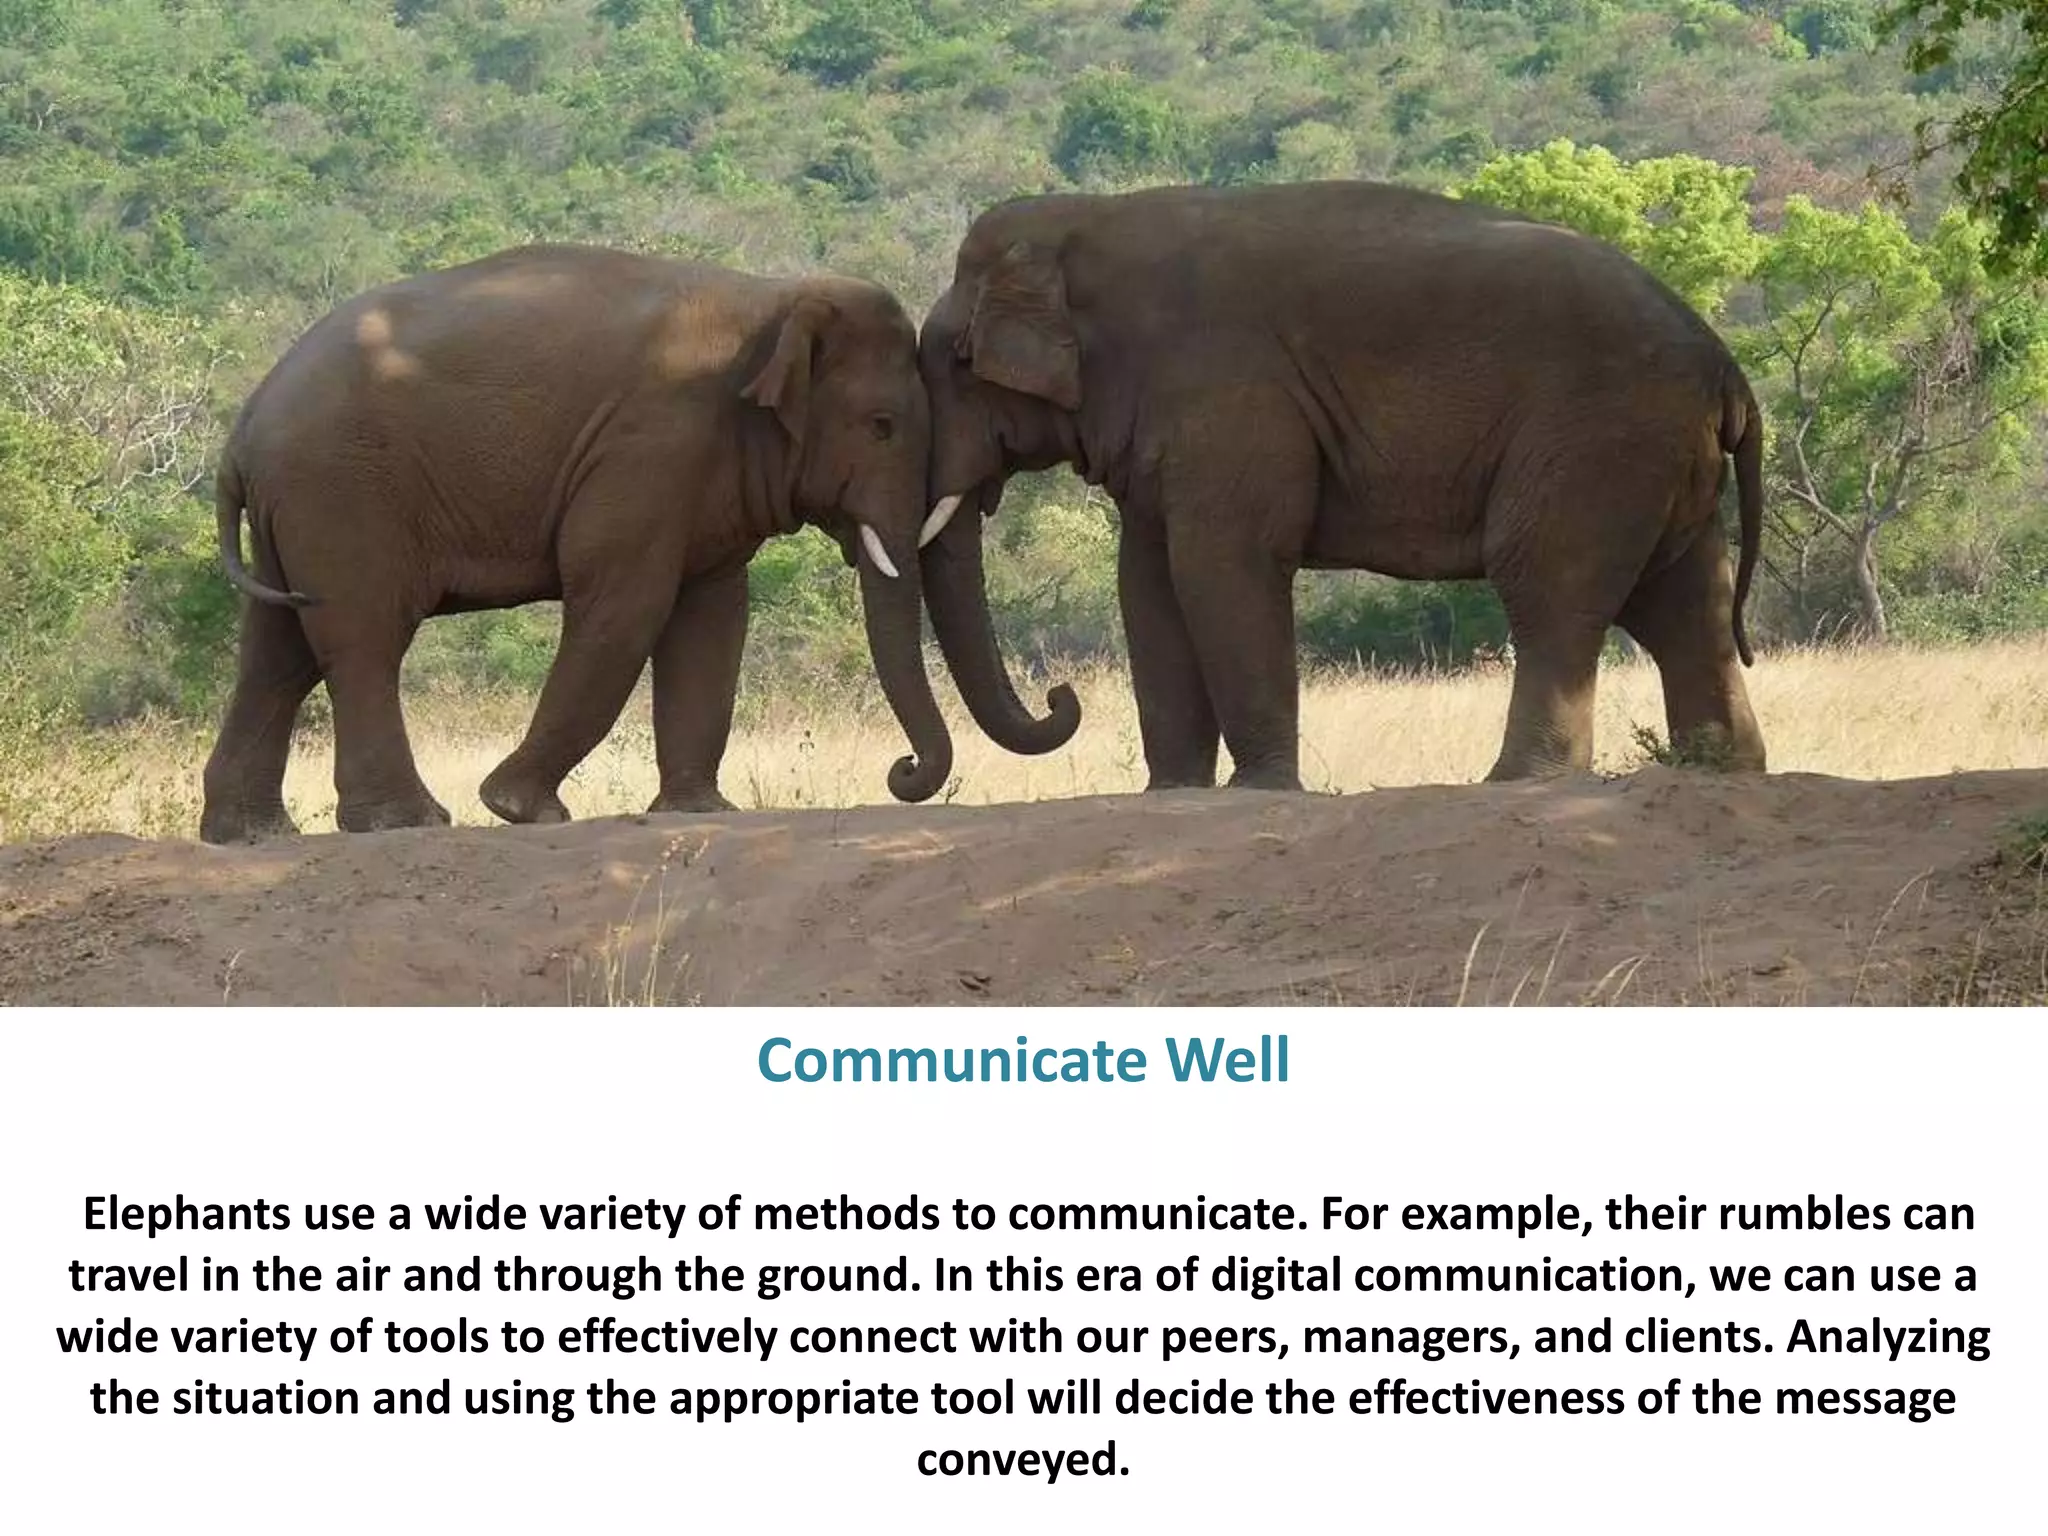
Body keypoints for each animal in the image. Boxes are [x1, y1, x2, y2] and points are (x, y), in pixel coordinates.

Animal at [200, 244, 975, 844]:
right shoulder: (651, 445)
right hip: (341, 492)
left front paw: (700, 810)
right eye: (882, 426)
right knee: (362, 640)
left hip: (297, 510)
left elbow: (713, 620)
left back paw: (251, 833)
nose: (903, 771)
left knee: (277, 651)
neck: (772, 295)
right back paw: (407, 821)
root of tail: (241, 436)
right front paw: (520, 808)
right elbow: (624, 605)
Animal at [916, 182, 1768, 790]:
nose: (1061, 697)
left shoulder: (1229, 393)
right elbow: (1148, 584)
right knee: (1685, 607)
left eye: (956, 361)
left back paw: (1519, 782)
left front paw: (1260, 791)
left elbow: (1225, 566)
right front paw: (1174, 794)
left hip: (1597, 441)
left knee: (1549, 588)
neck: (1094, 215)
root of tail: (1725, 366)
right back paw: (1720, 770)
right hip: (1659, 458)